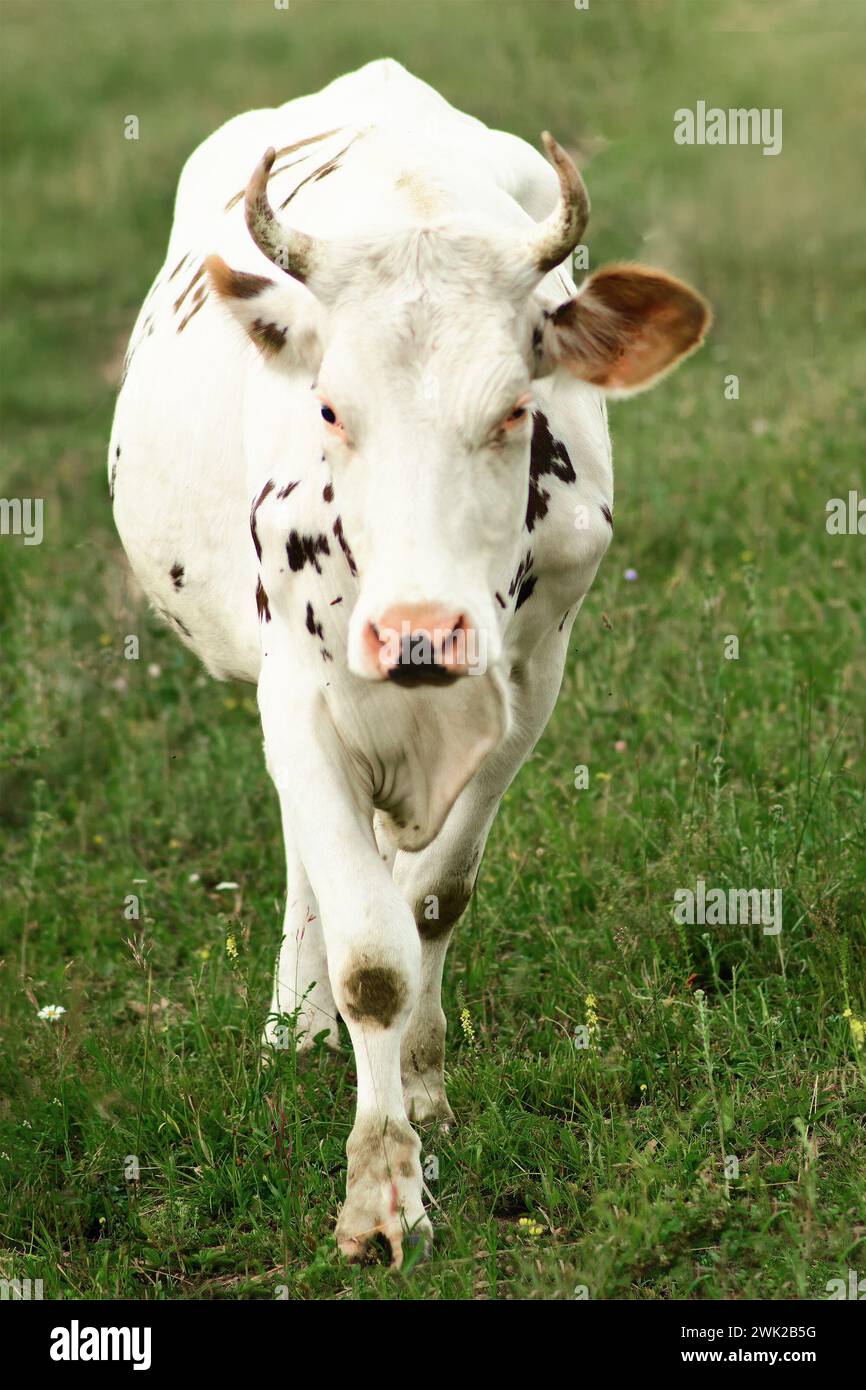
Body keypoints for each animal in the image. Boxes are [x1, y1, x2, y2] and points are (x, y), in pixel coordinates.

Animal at [109, 59, 709, 1265]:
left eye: (517, 408)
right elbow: (369, 957)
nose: (421, 631)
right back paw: (291, 1024)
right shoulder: (297, 691)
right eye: (331, 407)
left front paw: (423, 1097)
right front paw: (379, 1190)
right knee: (311, 856)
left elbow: (432, 902)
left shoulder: (530, 685)